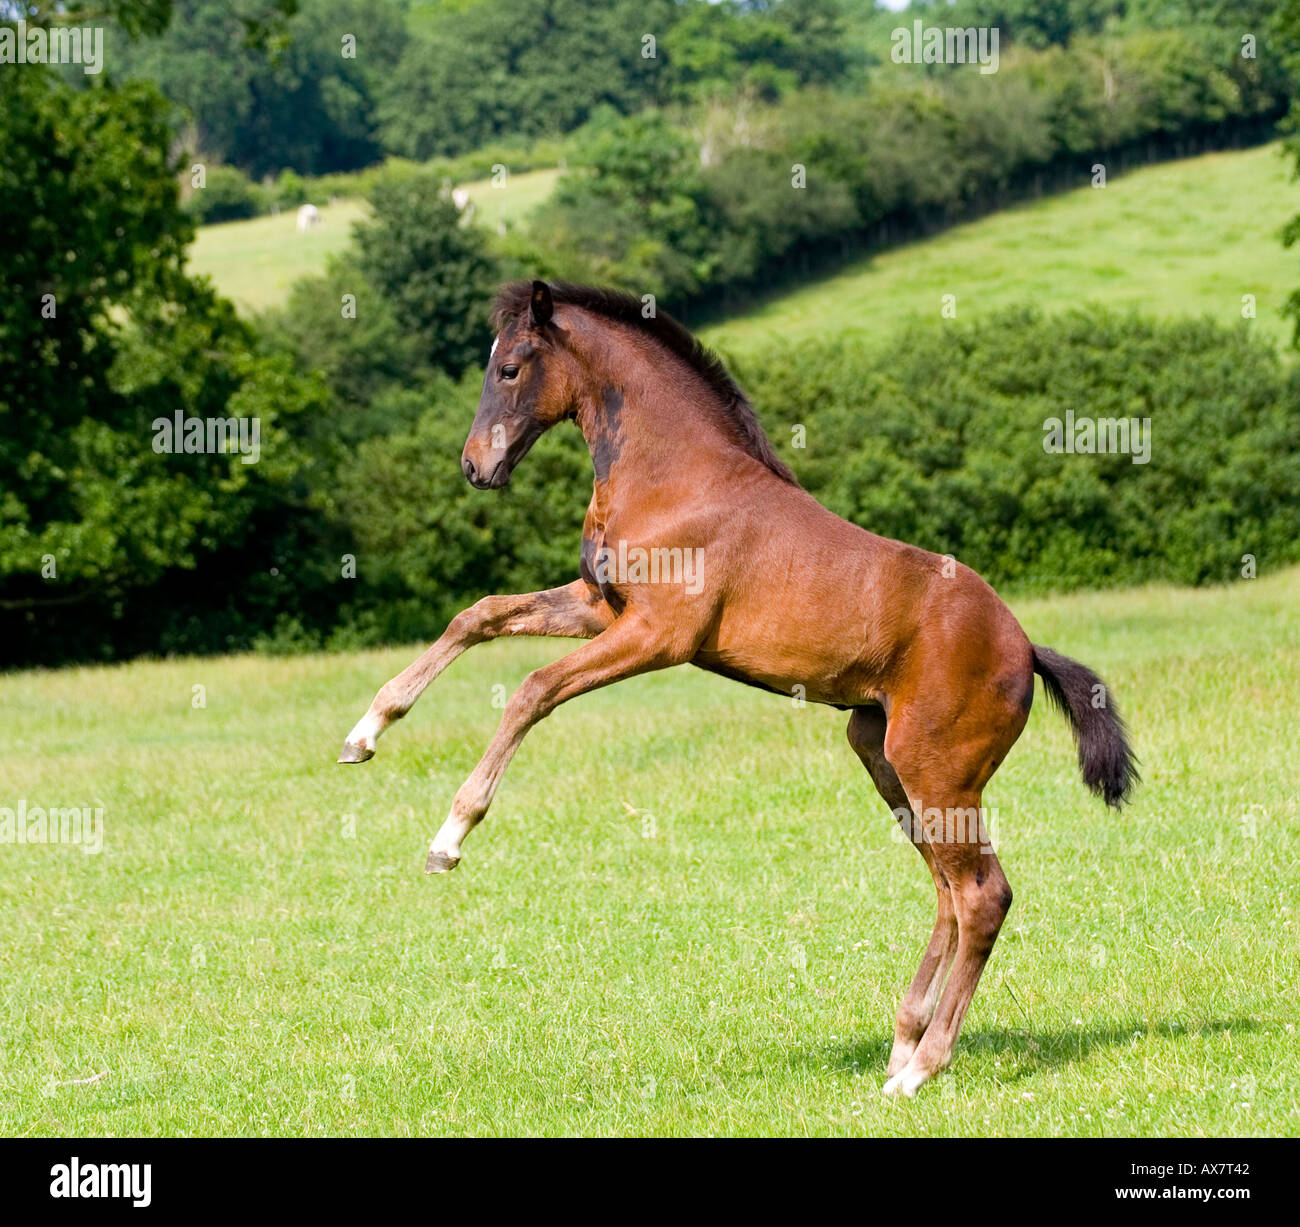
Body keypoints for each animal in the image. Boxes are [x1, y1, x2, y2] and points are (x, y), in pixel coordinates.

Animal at [338, 280, 1138, 1095]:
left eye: (509, 368)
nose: (476, 468)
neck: (677, 477)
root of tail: (1024, 648)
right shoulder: (600, 605)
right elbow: (480, 615)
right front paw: (365, 732)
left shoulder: (658, 635)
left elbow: (532, 688)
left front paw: (449, 835)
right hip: (884, 756)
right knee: (948, 890)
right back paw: (902, 1045)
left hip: (936, 768)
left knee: (982, 894)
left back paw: (921, 1068)